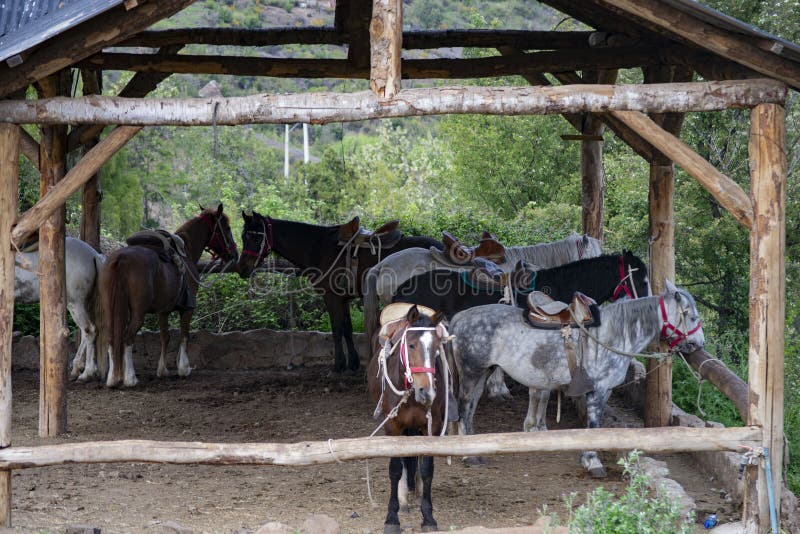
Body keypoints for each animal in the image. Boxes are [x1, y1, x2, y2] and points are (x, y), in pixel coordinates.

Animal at [14, 236, 106, 381]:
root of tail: (94, 255)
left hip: (75, 303)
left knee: (89, 330)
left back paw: (86, 373)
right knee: (87, 331)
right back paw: (76, 369)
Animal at [100, 204, 238, 387]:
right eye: (227, 227)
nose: (234, 254)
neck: (186, 252)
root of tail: (121, 258)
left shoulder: (163, 311)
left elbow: (164, 337)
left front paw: (162, 370)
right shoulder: (187, 309)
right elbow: (184, 336)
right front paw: (184, 368)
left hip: (110, 309)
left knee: (111, 338)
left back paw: (112, 378)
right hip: (138, 313)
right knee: (128, 338)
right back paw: (130, 378)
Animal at [236, 211, 442, 373]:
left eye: (256, 237)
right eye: (243, 236)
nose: (242, 268)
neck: (318, 248)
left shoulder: (331, 297)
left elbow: (336, 328)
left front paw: (339, 365)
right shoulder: (344, 299)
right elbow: (347, 328)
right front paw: (353, 363)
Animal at [367, 303, 450, 534]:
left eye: (436, 348)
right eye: (411, 345)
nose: (427, 392)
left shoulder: (431, 426)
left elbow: (427, 469)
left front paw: (428, 517)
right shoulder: (393, 426)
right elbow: (395, 470)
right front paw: (392, 517)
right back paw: (404, 499)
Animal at [451, 280, 704, 477]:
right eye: (691, 316)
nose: (699, 343)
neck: (611, 335)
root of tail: (459, 318)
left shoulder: (604, 391)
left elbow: (594, 426)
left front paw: (586, 458)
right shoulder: (598, 390)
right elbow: (593, 426)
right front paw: (593, 462)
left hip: (483, 373)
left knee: (470, 409)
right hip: (471, 373)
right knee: (464, 408)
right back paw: (467, 456)